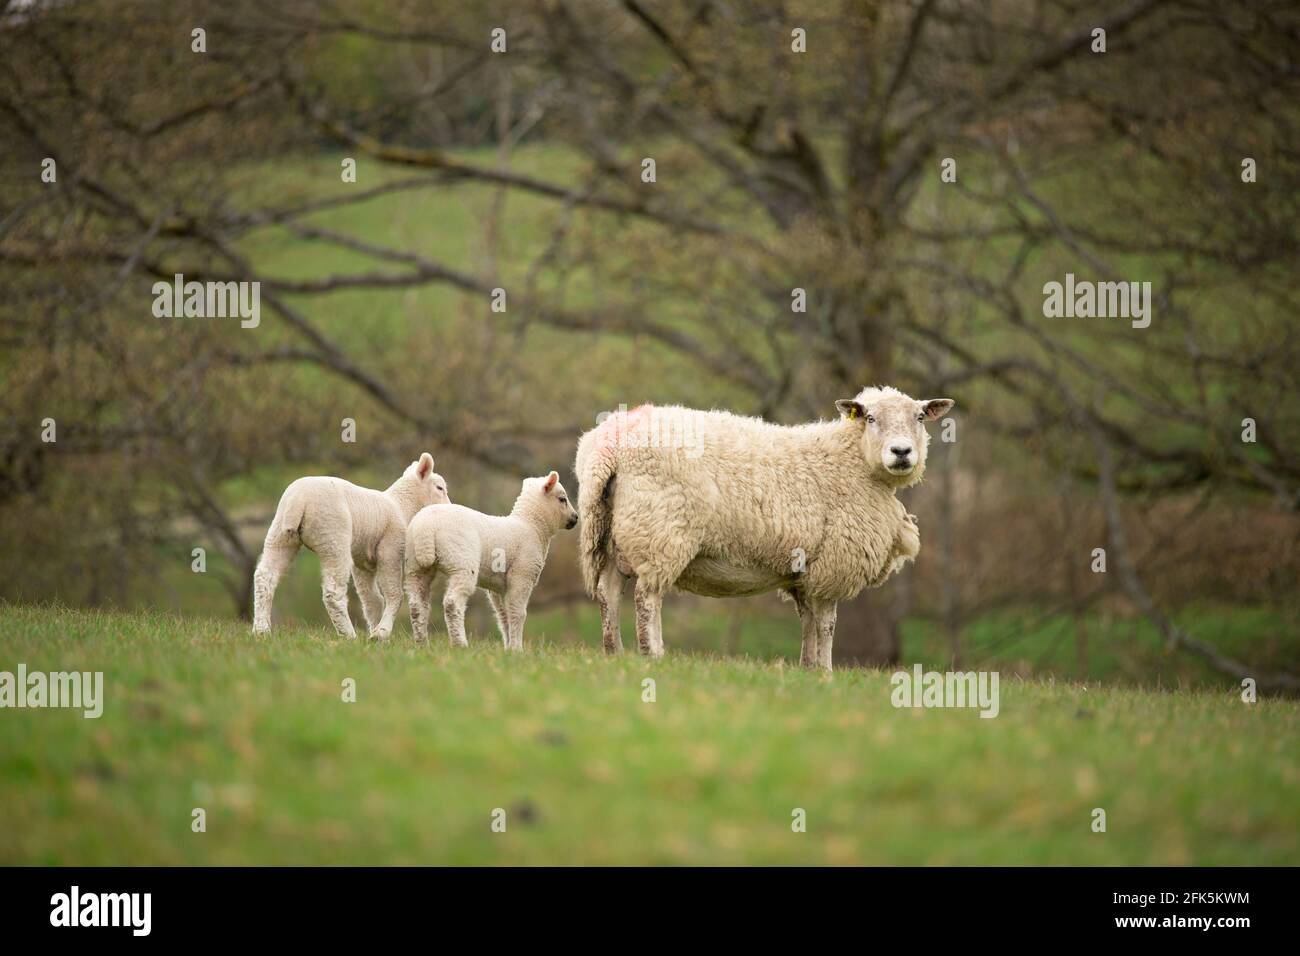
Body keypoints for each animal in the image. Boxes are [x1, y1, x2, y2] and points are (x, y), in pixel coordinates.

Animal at [252, 453, 449, 639]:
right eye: (440, 488)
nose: (449, 508)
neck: (402, 505)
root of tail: (299, 500)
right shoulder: (390, 549)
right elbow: (394, 595)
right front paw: (381, 633)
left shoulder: (362, 561)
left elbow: (372, 600)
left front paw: (374, 632)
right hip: (333, 536)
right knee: (332, 592)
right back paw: (348, 635)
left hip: (280, 534)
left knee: (265, 576)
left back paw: (261, 630)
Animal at [403, 471, 579, 649]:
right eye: (562, 499)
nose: (576, 518)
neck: (532, 526)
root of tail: (425, 528)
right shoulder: (522, 575)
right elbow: (518, 612)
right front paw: (517, 649)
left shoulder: (497, 587)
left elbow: (503, 615)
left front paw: (508, 648)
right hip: (462, 563)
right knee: (452, 603)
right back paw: (460, 644)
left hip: (415, 566)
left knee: (417, 606)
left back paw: (422, 644)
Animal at [573, 387, 955, 670]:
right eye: (871, 418)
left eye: (920, 417)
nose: (902, 452)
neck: (853, 459)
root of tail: (607, 447)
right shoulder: (833, 565)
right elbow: (827, 623)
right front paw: (826, 671)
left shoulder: (805, 570)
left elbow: (808, 621)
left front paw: (808, 668)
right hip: (659, 531)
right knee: (646, 598)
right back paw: (653, 653)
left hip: (609, 532)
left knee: (608, 592)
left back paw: (615, 652)